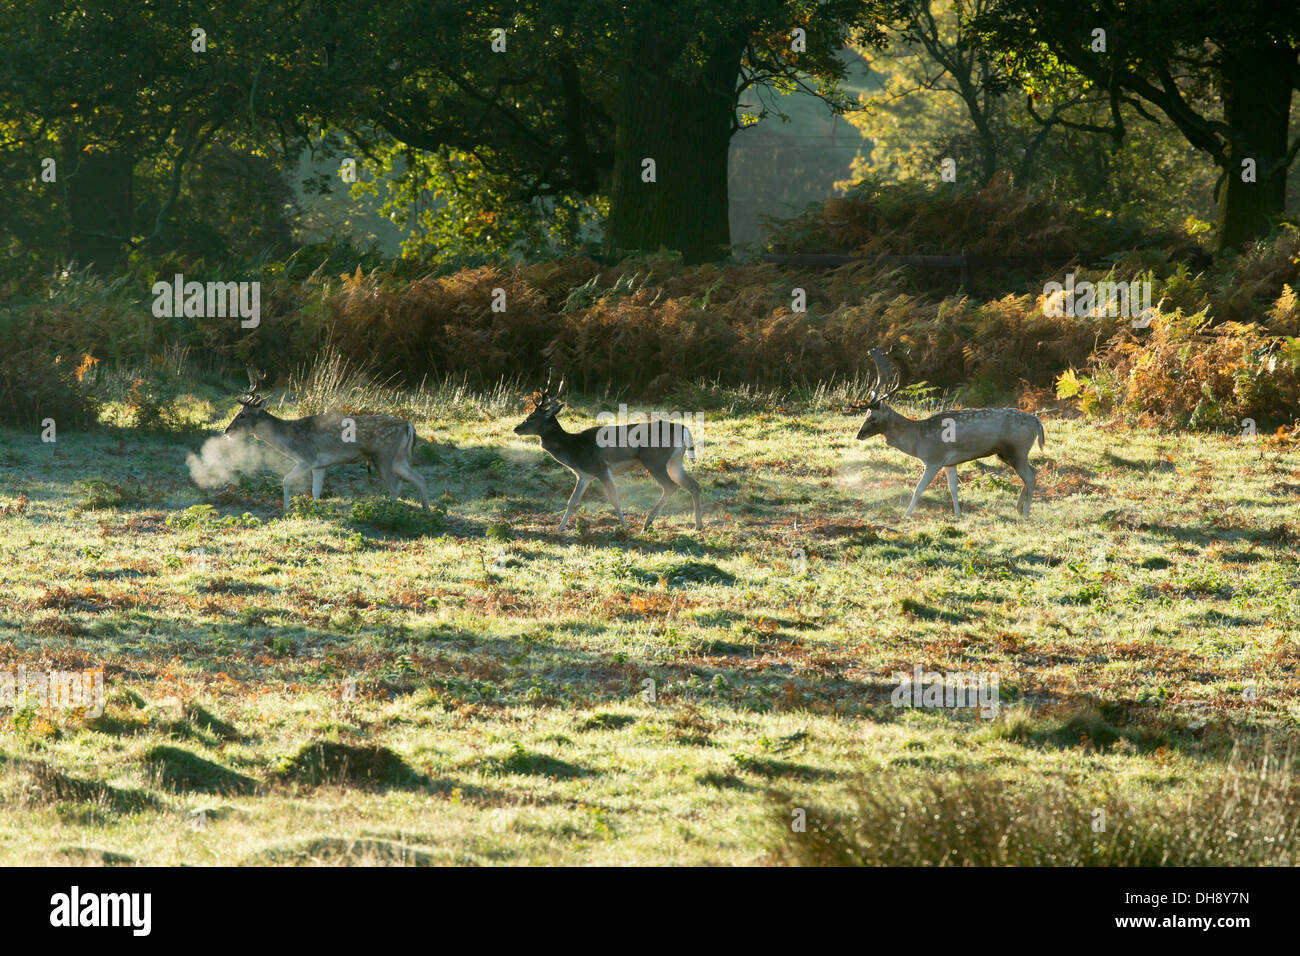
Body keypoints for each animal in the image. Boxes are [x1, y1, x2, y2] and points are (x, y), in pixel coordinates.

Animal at [223, 368, 429, 511]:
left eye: (242, 414)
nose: (227, 430)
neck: (289, 439)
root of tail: (408, 426)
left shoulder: (308, 458)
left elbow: (286, 480)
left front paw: (286, 509)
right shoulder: (320, 465)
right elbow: (316, 491)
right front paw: (316, 511)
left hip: (383, 455)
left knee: (396, 485)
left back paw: (388, 511)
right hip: (398, 458)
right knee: (419, 479)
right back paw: (426, 511)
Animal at [513, 371, 703, 533]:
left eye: (531, 417)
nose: (516, 428)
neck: (574, 449)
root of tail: (685, 430)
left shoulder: (601, 468)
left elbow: (613, 498)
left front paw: (625, 526)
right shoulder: (584, 475)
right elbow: (572, 501)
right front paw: (559, 528)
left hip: (654, 460)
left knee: (671, 486)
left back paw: (647, 523)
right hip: (674, 462)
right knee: (693, 485)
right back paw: (697, 525)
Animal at [852, 348, 1045, 519]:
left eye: (873, 417)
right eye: (866, 414)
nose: (859, 435)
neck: (917, 439)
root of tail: (1037, 421)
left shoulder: (934, 459)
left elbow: (919, 488)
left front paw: (906, 514)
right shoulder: (949, 463)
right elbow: (953, 489)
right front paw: (958, 515)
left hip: (1017, 449)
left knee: (1030, 477)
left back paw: (1026, 513)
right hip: (1006, 453)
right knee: (1034, 471)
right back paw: (1018, 508)